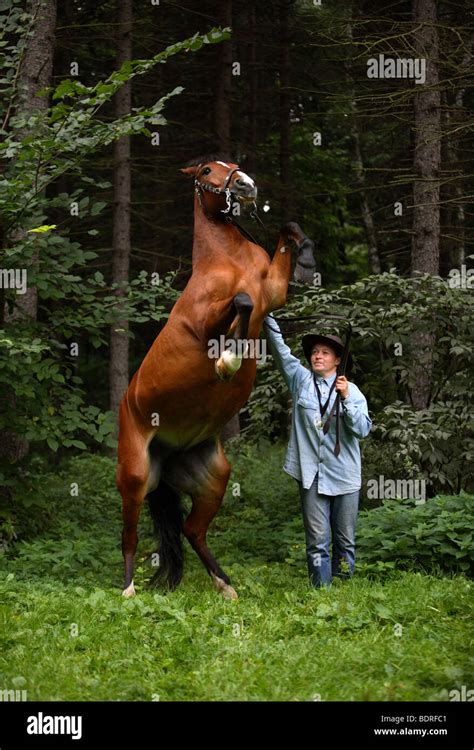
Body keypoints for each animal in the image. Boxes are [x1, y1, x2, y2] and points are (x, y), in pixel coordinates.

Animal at [116, 156, 316, 600]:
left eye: (236, 165)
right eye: (208, 171)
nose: (245, 186)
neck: (231, 261)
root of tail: (168, 449)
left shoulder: (273, 294)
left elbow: (289, 228)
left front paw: (307, 261)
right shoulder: (207, 323)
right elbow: (241, 302)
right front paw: (227, 360)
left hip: (213, 478)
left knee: (192, 529)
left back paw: (225, 586)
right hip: (135, 476)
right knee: (129, 536)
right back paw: (128, 590)